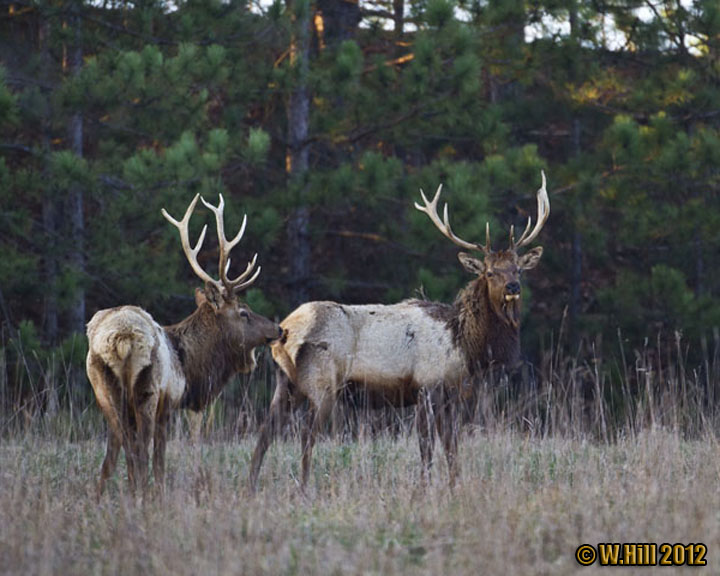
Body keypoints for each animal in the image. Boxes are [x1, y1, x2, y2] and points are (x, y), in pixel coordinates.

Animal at [86, 194, 282, 497]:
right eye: (244, 313)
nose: (279, 329)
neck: (190, 368)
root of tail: (121, 337)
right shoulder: (168, 402)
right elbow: (159, 460)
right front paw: (158, 494)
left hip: (104, 390)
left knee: (115, 451)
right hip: (147, 390)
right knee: (139, 450)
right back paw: (142, 497)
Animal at [249, 172, 549, 491]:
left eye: (518, 269)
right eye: (490, 272)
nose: (513, 287)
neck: (465, 345)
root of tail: (284, 331)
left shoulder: (450, 395)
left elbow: (451, 447)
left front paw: (454, 486)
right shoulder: (427, 387)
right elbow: (427, 447)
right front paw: (424, 488)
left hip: (286, 383)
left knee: (266, 431)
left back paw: (252, 485)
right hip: (322, 383)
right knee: (306, 435)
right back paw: (305, 488)